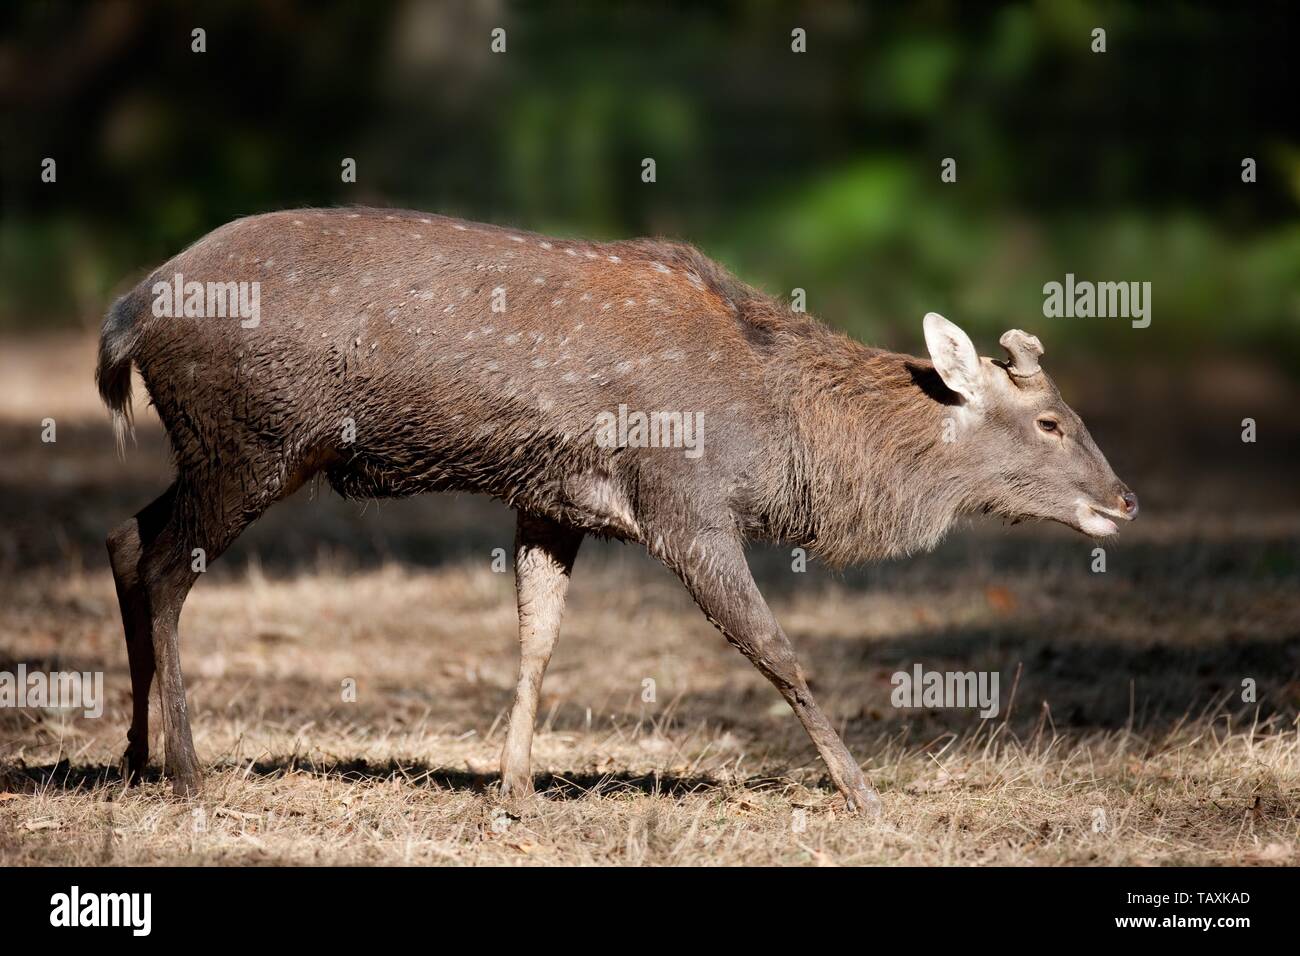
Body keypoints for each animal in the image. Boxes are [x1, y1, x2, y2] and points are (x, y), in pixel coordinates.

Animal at [97, 207, 1138, 814]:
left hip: (222, 449)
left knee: (122, 536)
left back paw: (133, 759)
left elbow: (536, 637)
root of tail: (129, 311)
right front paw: (864, 796)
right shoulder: (686, 501)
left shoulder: (552, 503)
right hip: (253, 440)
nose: (1124, 500)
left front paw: (515, 791)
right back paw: (188, 773)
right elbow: (779, 652)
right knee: (165, 566)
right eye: (1051, 421)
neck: (785, 443)